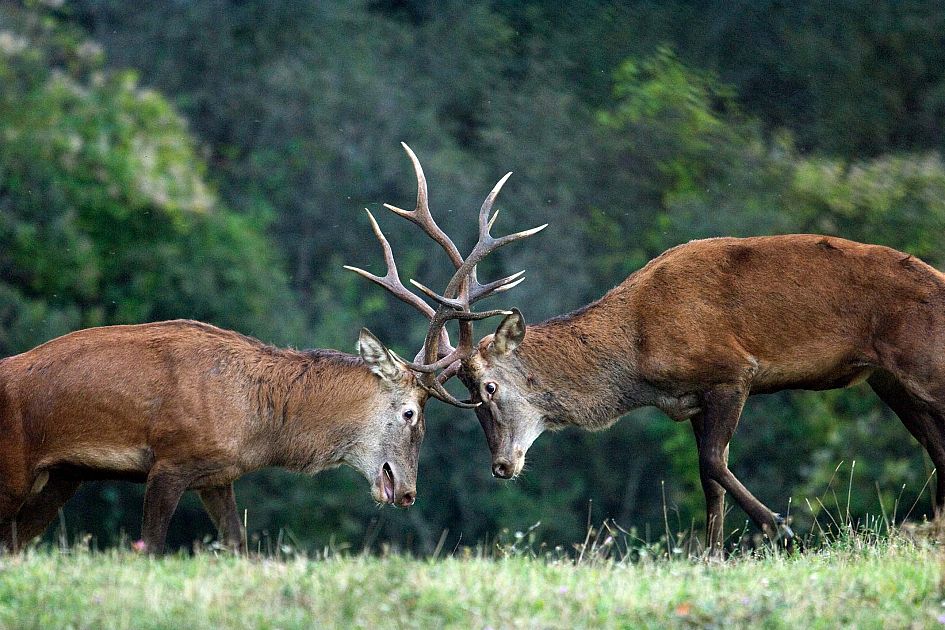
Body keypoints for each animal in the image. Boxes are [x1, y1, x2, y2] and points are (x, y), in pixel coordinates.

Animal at [0, 198, 519, 553]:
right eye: (410, 413)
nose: (410, 493)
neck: (254, 424)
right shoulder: (168, 461)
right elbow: (148, 547)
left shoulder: (215, 475)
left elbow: (239, 546)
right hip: (14, 467)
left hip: (61, 476)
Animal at [362, 148, 945, 554]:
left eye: (488, 387)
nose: (502, 466)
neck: (640, 358)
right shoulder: (690, 401)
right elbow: (707, 479)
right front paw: (713, 556)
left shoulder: (731, 372)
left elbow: (712, 463)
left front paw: (779, 526)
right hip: (890, 380)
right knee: (937, 447)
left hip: (922, 364)